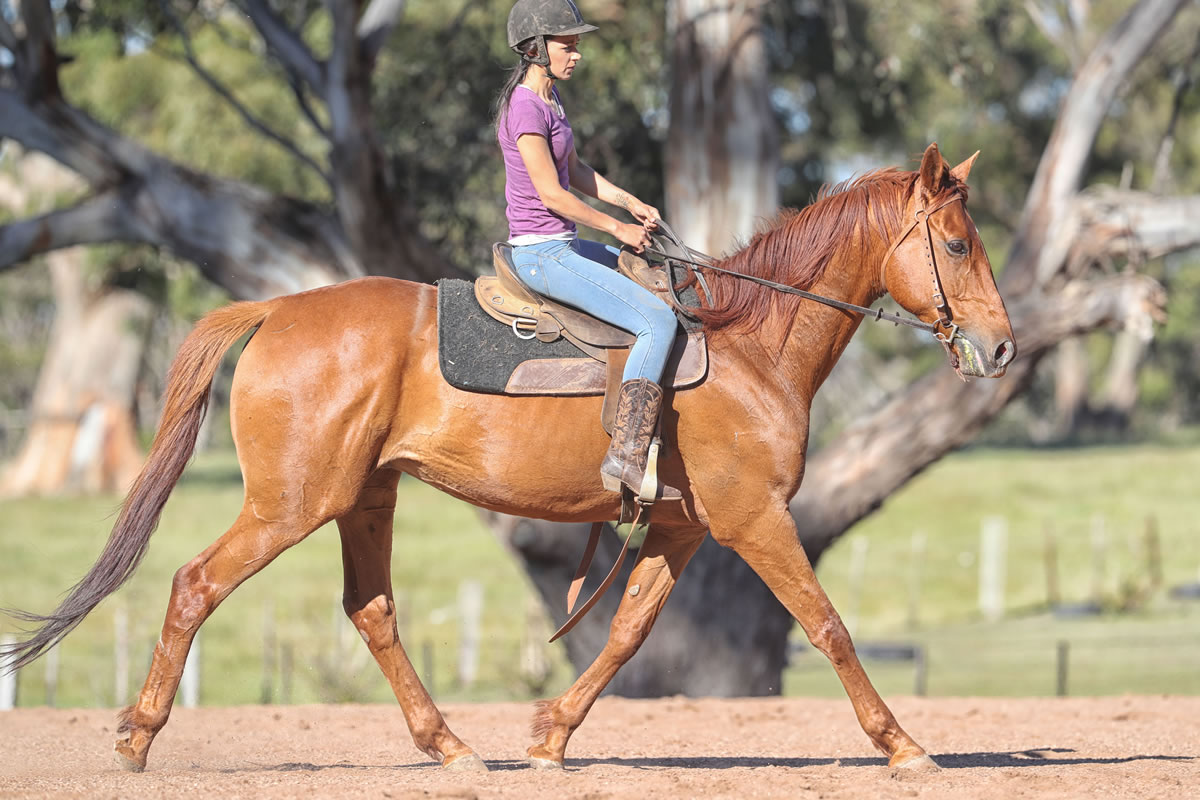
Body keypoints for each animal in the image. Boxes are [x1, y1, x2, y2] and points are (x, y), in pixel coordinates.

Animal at [1, 143, 1015, 773]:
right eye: (958, 243)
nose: (1003, 348)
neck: (748, 344)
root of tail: (279, 309)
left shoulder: (685, 530)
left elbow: (626, 632)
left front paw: (551, 736)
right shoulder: (756, 519)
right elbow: (828, 624)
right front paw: (902, 745)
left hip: (364, 499)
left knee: (371, 611)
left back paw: (451, 747)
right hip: (291, 504)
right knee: (195, 585)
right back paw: (137, 739)